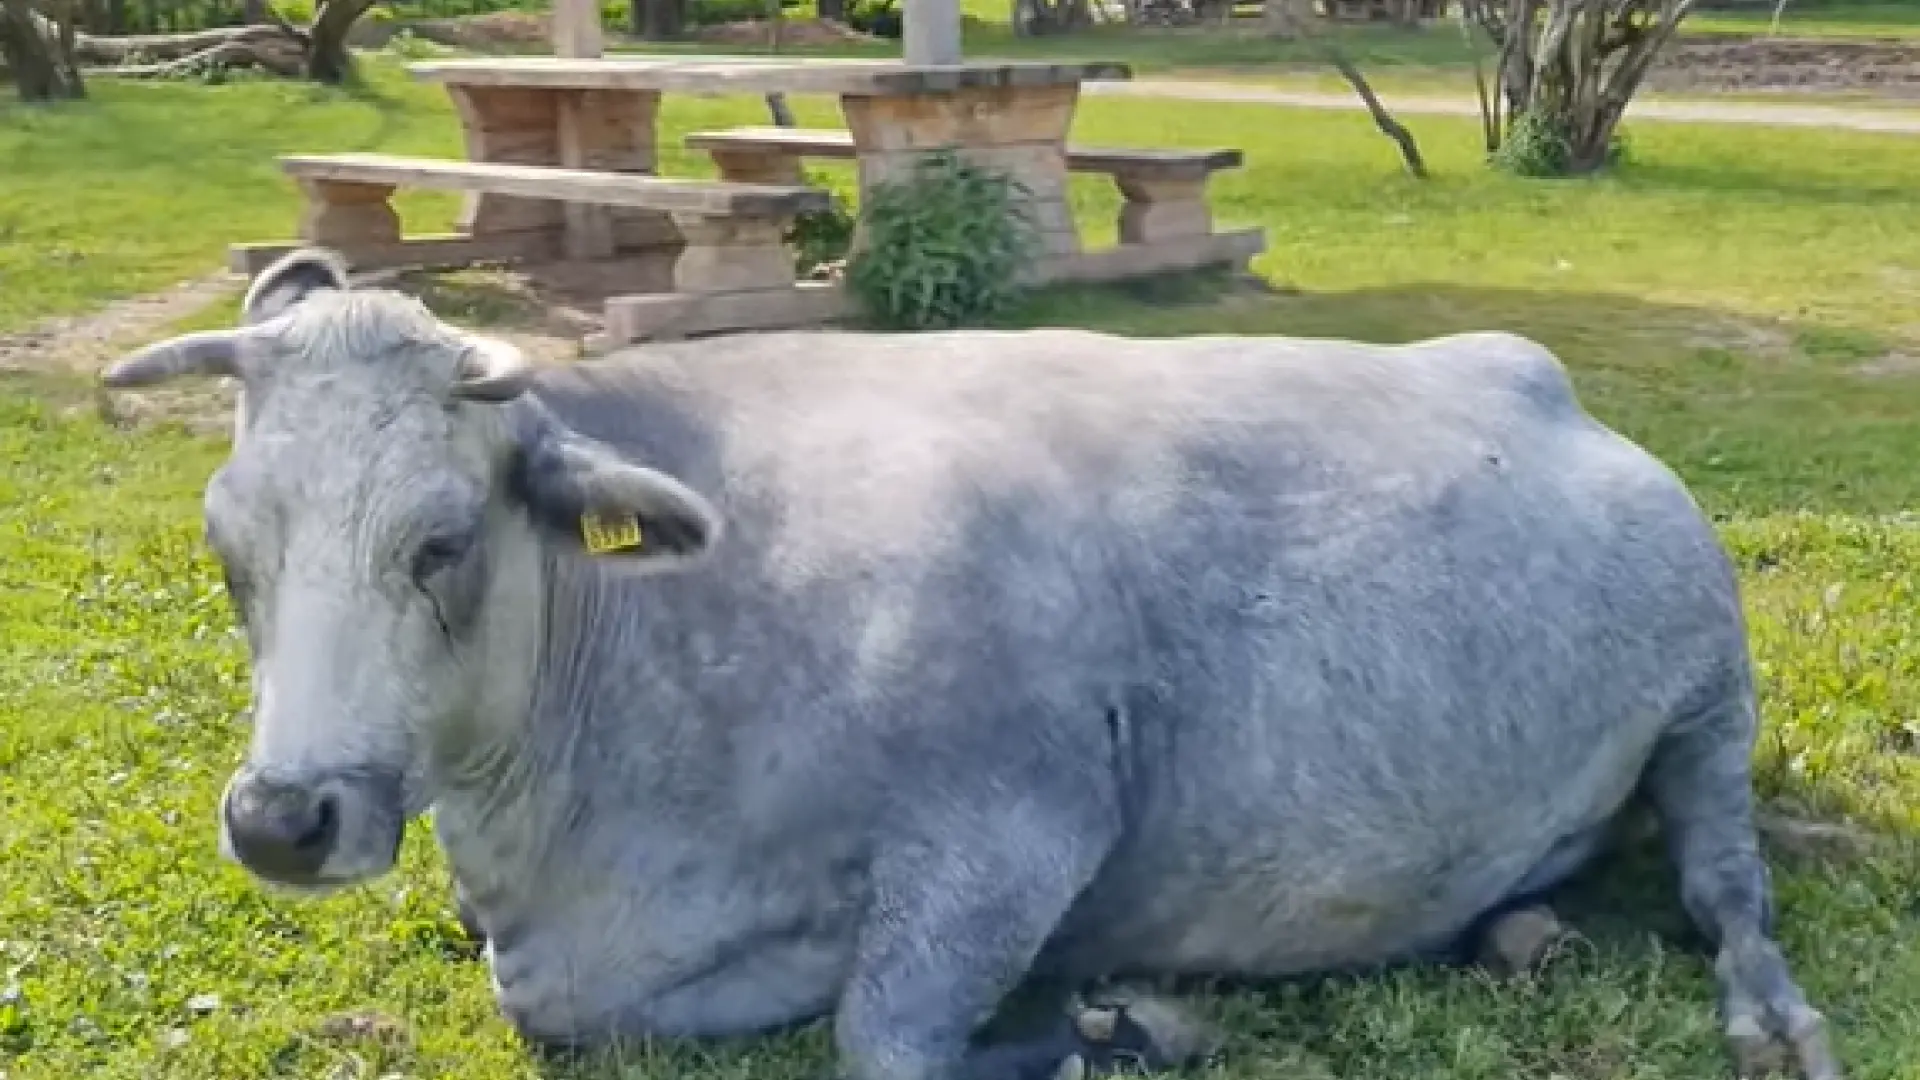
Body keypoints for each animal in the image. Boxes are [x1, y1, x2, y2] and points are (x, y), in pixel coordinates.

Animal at [99, 248, 1840, 1080]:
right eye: (228, 545)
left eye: (444, 542)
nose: (282, 819)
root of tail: (1532, 373)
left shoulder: (1024, 823)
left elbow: (884, 1039)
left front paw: (1111, 1030)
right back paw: (1518, 931)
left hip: (1710, 700)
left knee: (1726, 887)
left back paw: (1766, 1014)